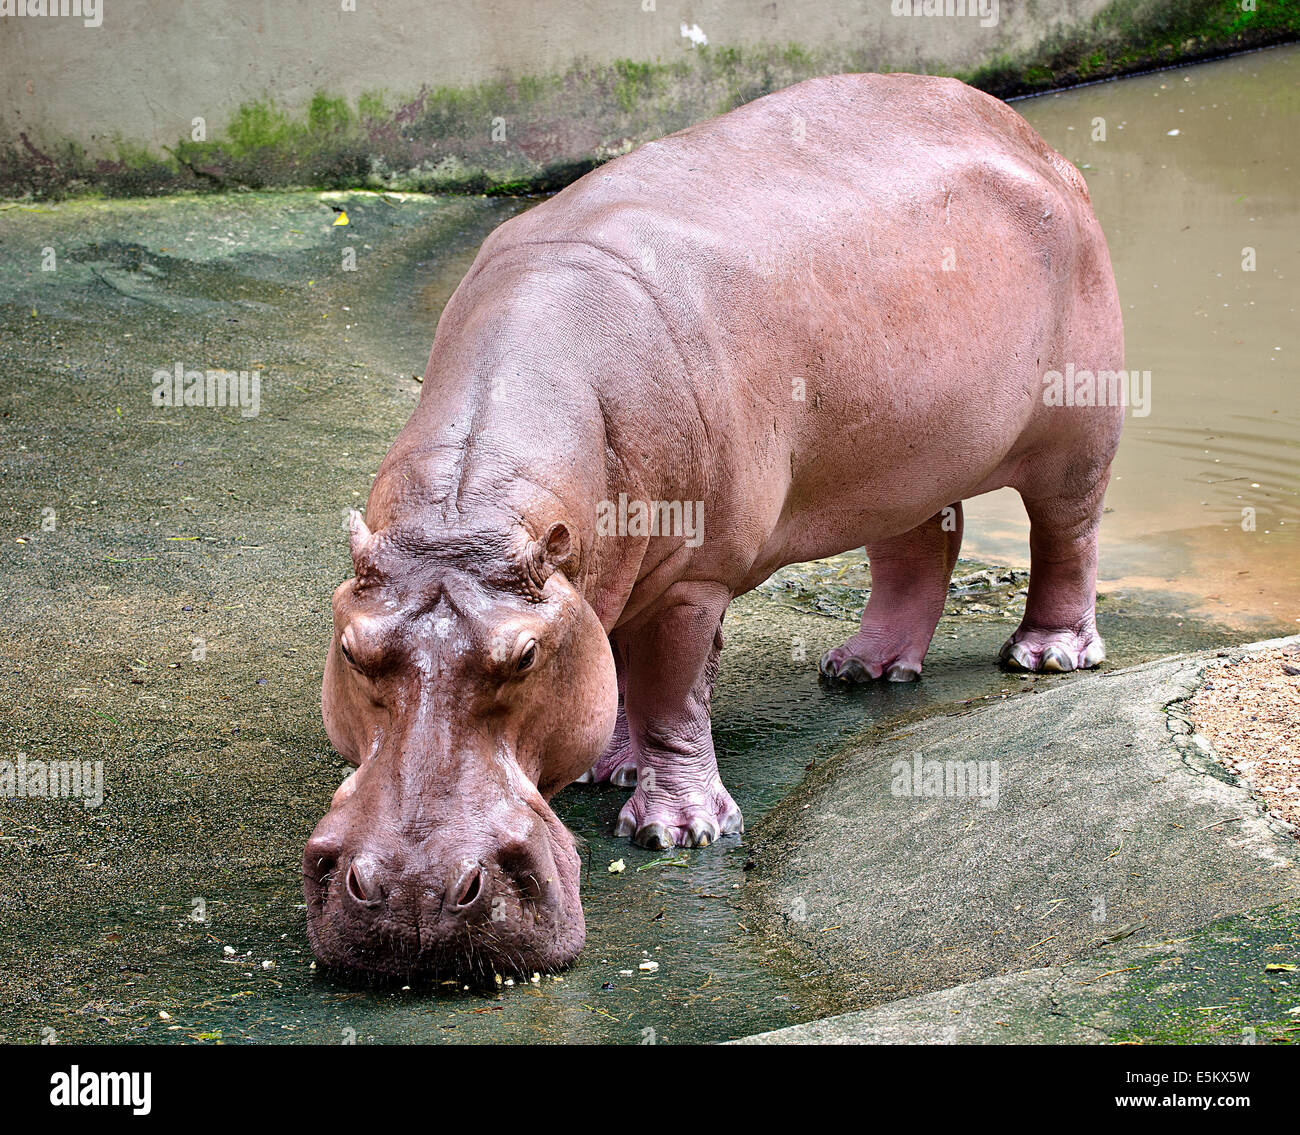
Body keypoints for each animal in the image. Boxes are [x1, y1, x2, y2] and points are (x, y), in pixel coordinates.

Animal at [303, 72, 1123, 980]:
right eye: (353, 649)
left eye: (523, 656)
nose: (416, 893)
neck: (466, 515)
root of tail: (1024, 134)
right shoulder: (607, 569)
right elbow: (616, 665)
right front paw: (611, 767)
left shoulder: (690, 579)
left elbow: (669, 690)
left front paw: (676, 829)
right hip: (897, 458)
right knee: (919, 545)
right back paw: (863, 670)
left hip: (1078, 426)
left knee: (1068, 533)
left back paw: (1047, 656)